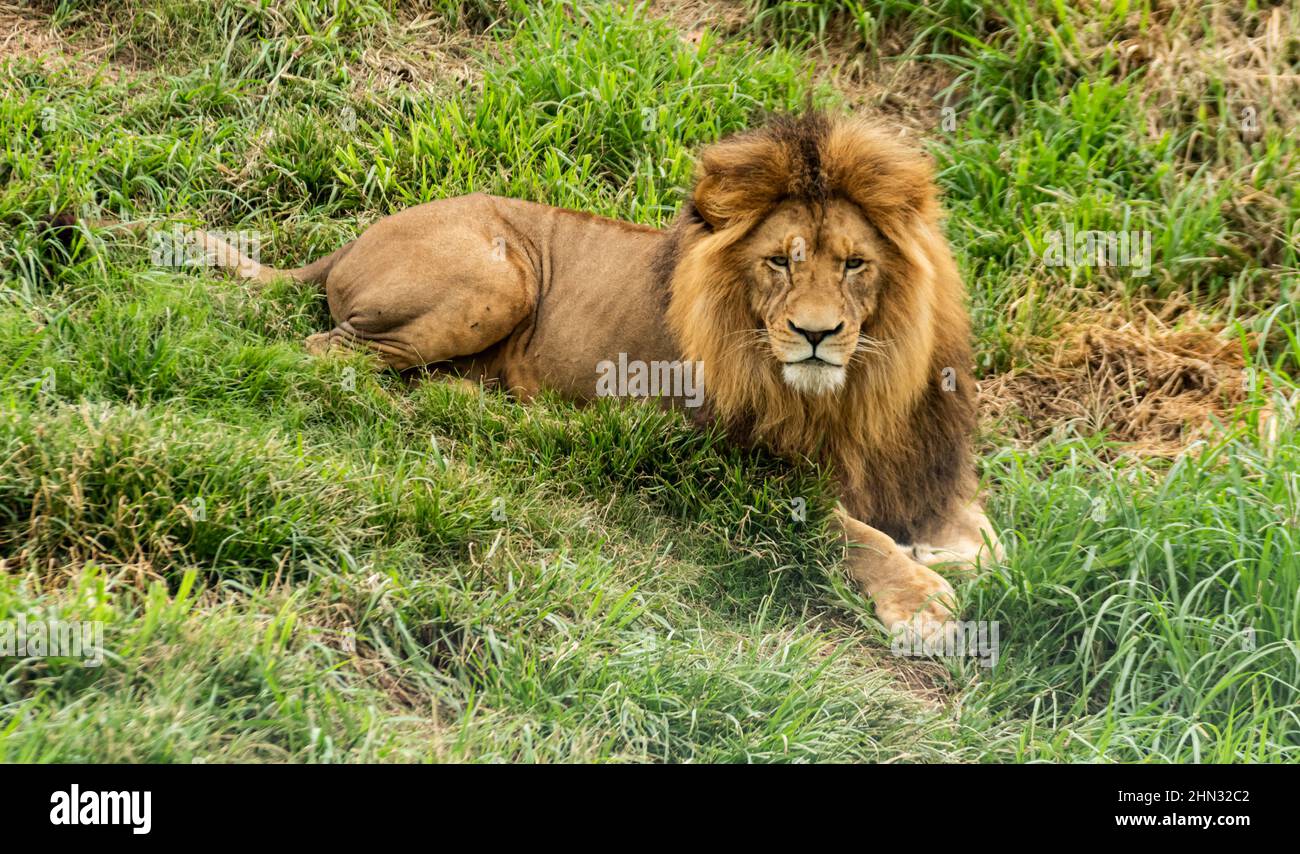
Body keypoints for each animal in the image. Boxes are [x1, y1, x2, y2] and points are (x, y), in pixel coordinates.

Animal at [176, 112, 1002, 638]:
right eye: (779, 261)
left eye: (855, 265)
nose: (815, 334)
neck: (860, 391)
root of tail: (353, 239)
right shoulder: (732, 467)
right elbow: (850, 532)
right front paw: (921, 601)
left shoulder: (928, 471)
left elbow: (987, 545)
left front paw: (937, 557)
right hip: (498, 272)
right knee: (332, 356)